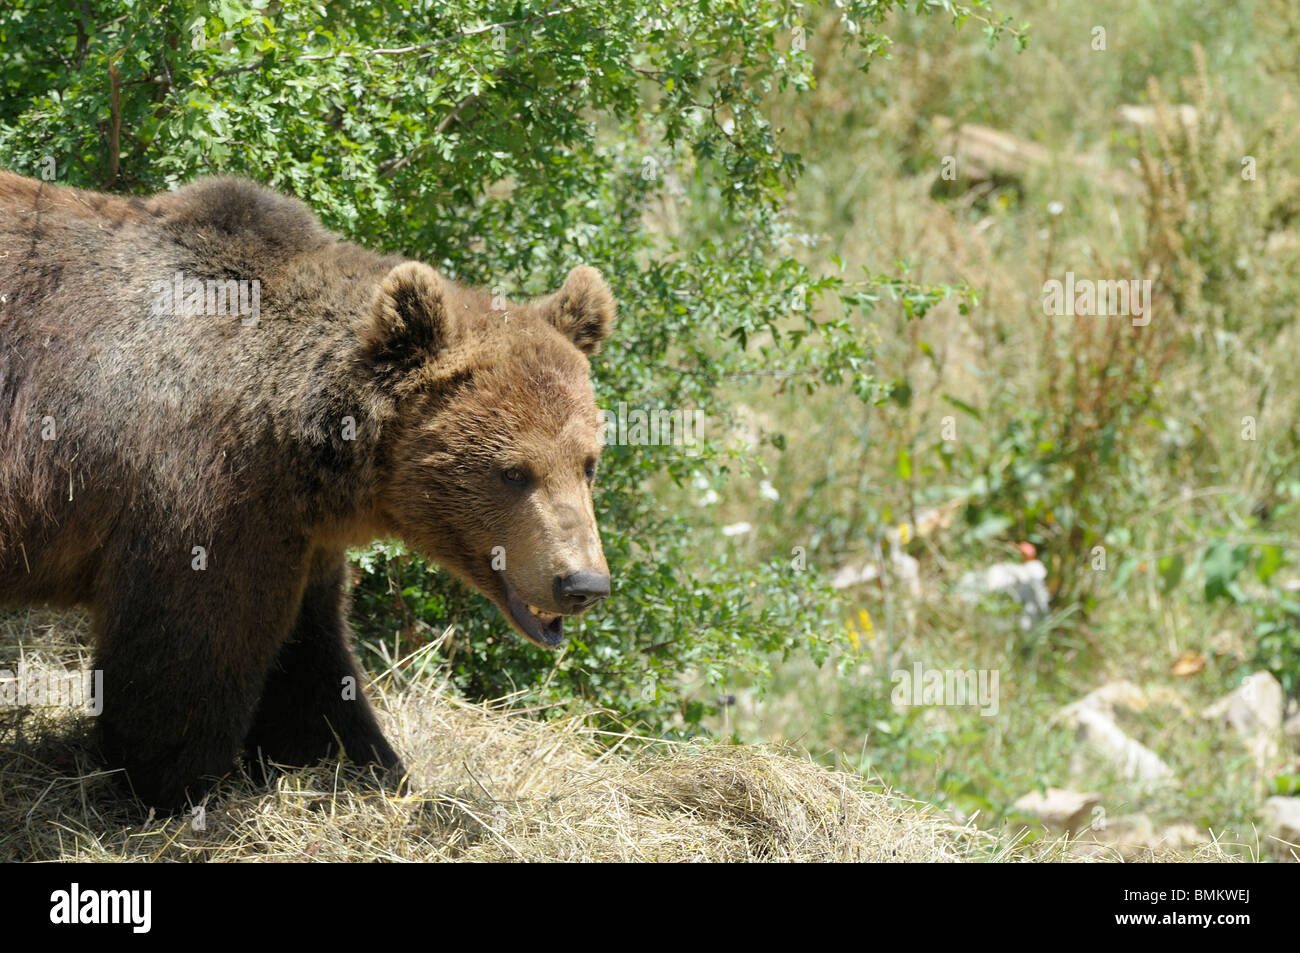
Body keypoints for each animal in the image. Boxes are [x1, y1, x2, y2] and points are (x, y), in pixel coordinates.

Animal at [0, 171, 614, 810]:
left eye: (588, 464)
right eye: (513, 472)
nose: (583, 583)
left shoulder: (298, 534)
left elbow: (311, 666)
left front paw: (369, 766)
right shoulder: (201, 494)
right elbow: (186, 657)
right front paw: (177, 782)